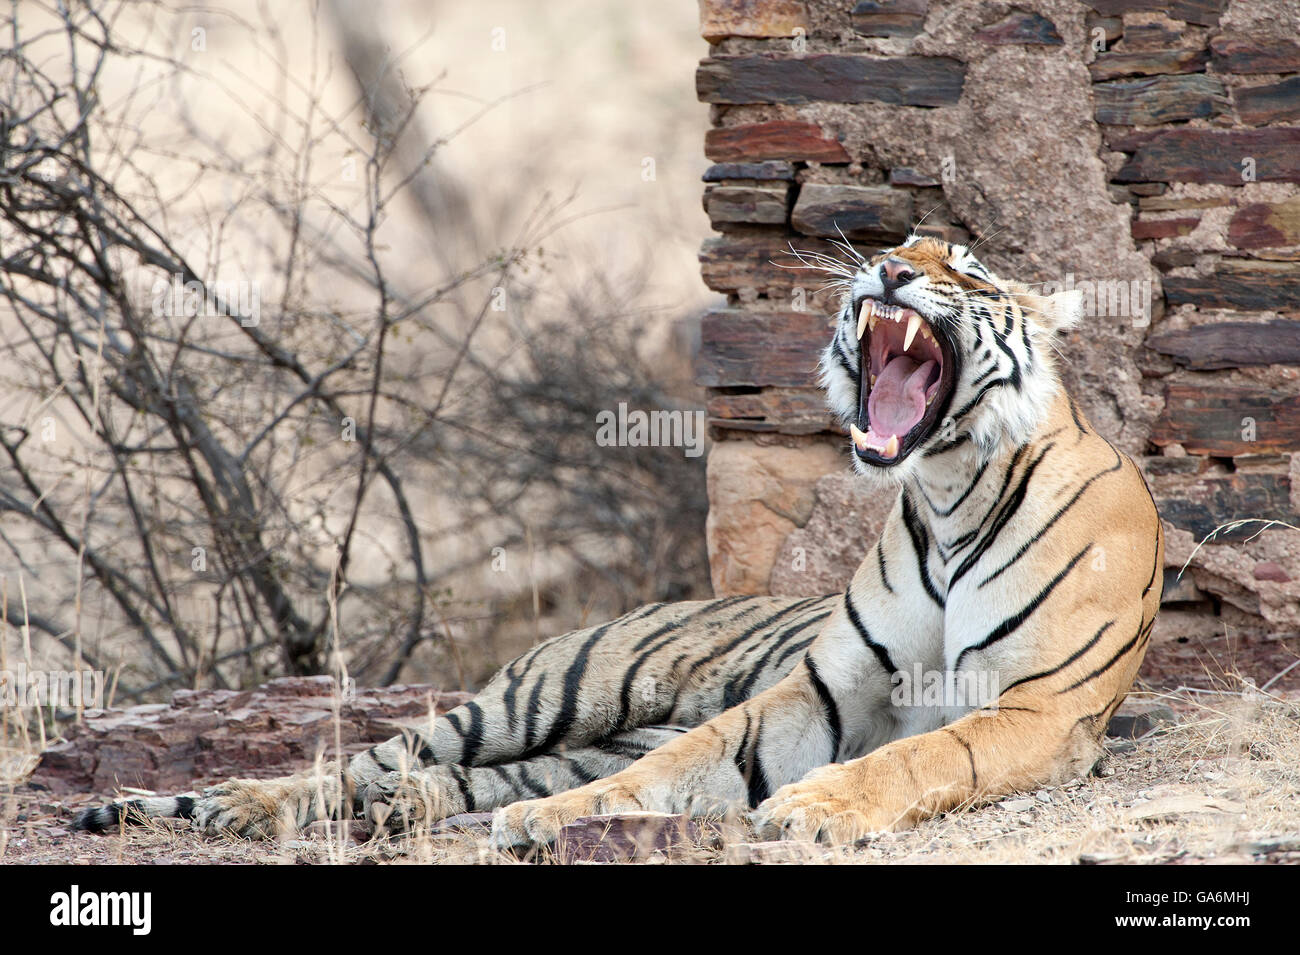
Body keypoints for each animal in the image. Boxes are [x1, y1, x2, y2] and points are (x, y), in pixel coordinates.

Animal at [72, 235, 1164, 850]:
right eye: (900, 245)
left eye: (965, 268)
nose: (888, 270)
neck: (943, 493)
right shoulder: (819, 691)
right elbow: (682, 757)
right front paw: (557, 826)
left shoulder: (1033, 707)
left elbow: (922, 755)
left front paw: (814, 805)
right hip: (534, 696)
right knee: (362, 760)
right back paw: (234, 806)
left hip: (550, 731)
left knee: (427, 779)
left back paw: (396, 811)